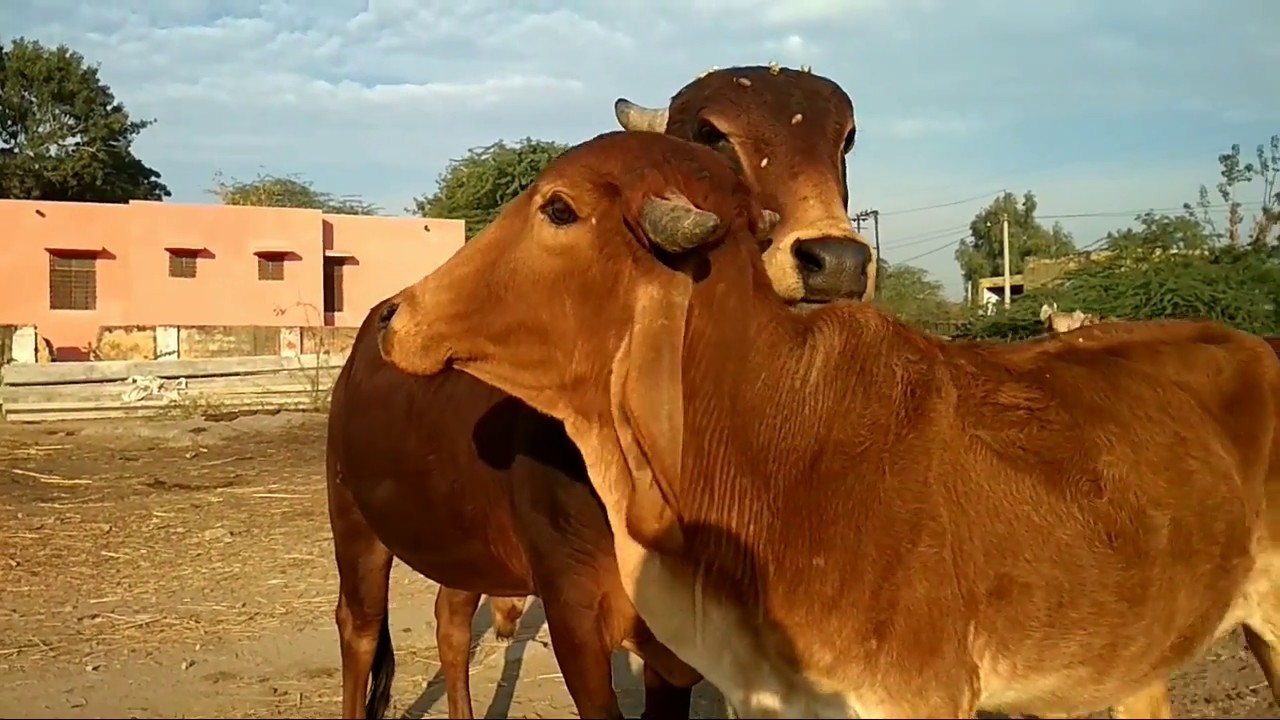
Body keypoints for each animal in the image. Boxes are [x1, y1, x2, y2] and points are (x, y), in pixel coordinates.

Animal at [327, 65, 875, 719]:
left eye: (846, 141)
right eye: (710, 132)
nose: (836, 260)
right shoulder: (574, 612)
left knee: (451, 621)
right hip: (355, 522)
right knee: (359, 630)